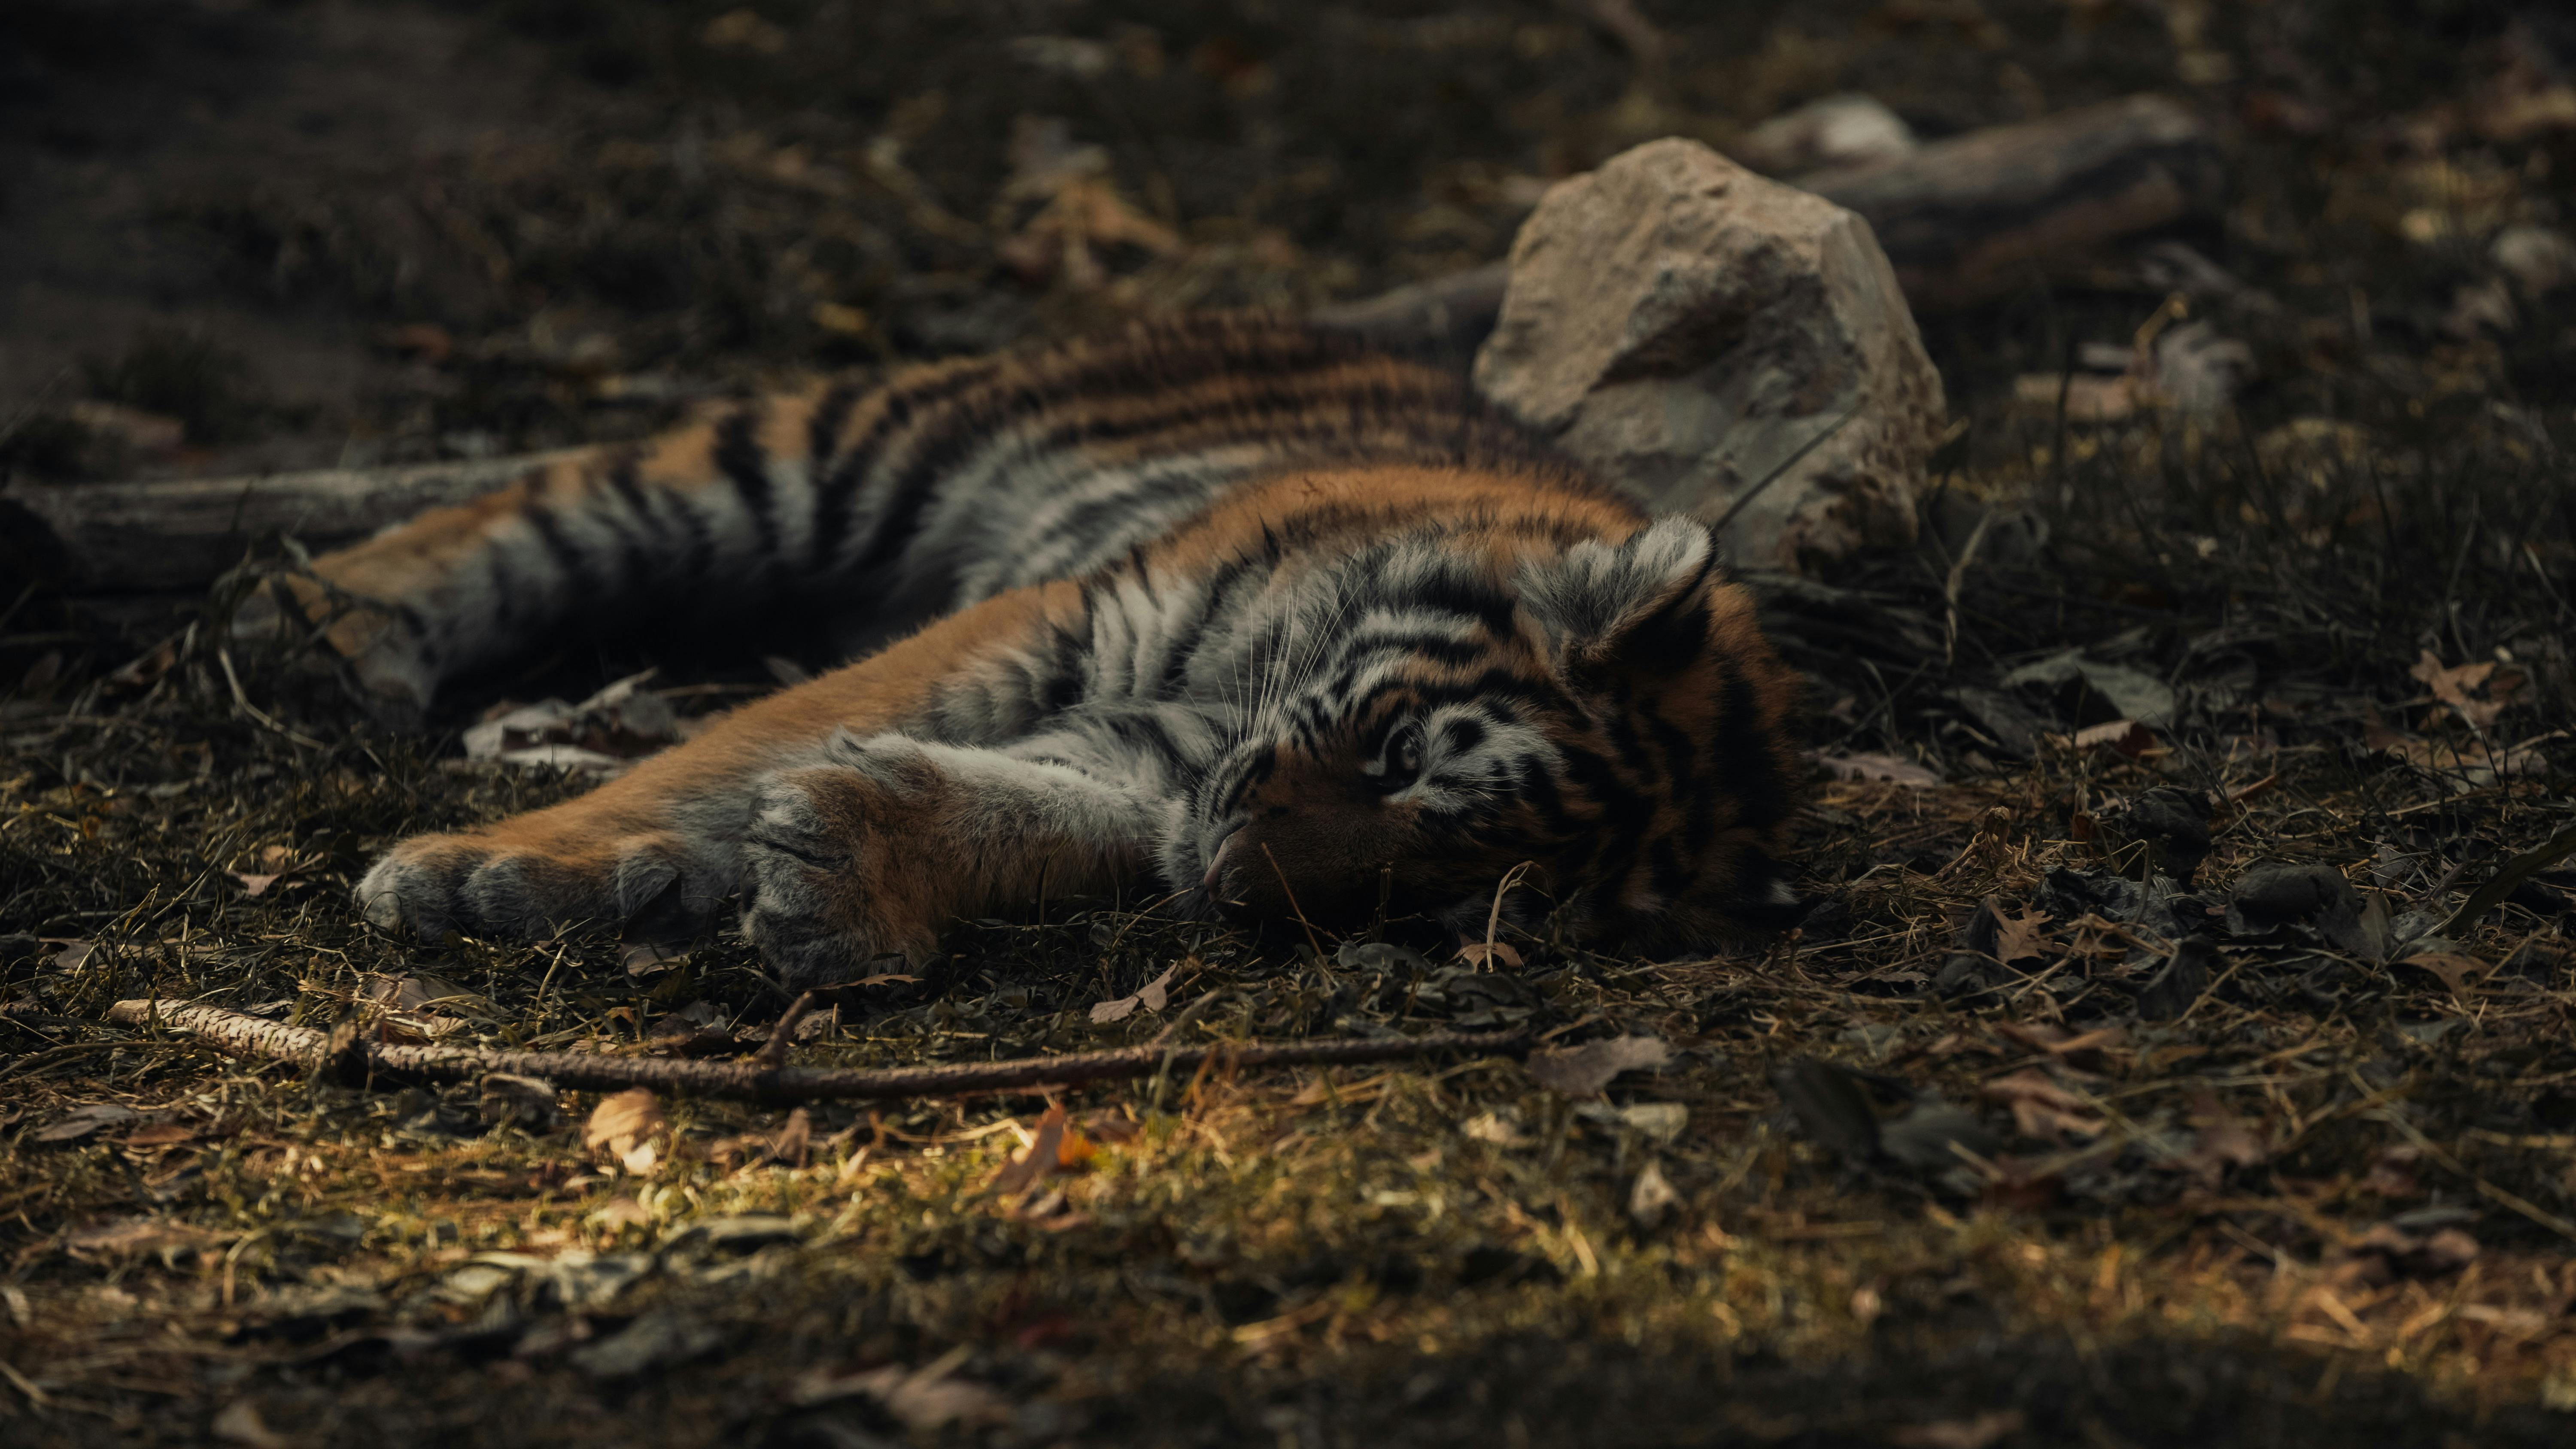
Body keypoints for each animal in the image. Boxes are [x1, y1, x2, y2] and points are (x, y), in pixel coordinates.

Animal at [267, 314, 1806, 985]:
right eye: (1398, 754)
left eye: (1441, 906)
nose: (1236, 893)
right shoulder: (1062, 619)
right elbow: (724, 749)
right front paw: (479, 868)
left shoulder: (1162, 773)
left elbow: (1028, 815)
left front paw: (847, 876)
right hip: (827, 457)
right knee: (548, 505)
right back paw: (338, 628)